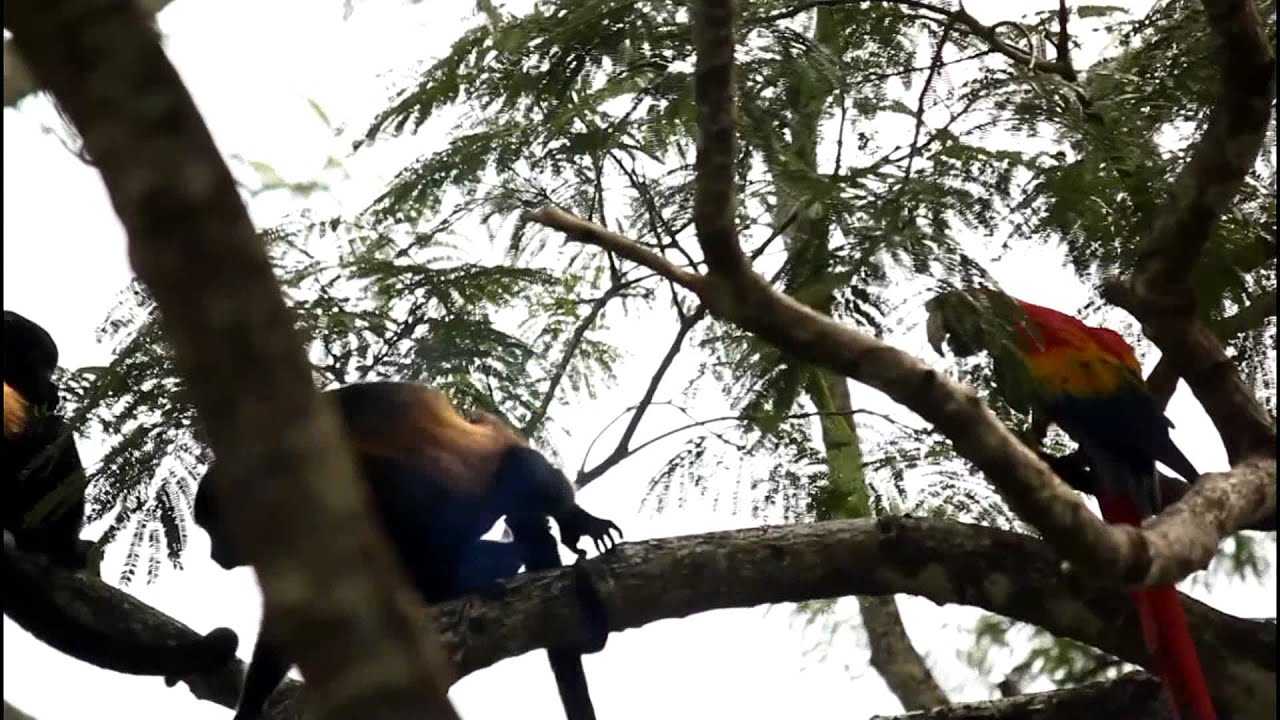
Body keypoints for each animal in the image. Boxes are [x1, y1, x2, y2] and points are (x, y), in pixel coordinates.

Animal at [191, 381, 622, 720]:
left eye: (215, 528)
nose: (214, 554)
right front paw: (250, 708)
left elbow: (400, 493)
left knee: (518, 471)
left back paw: (568, 522)